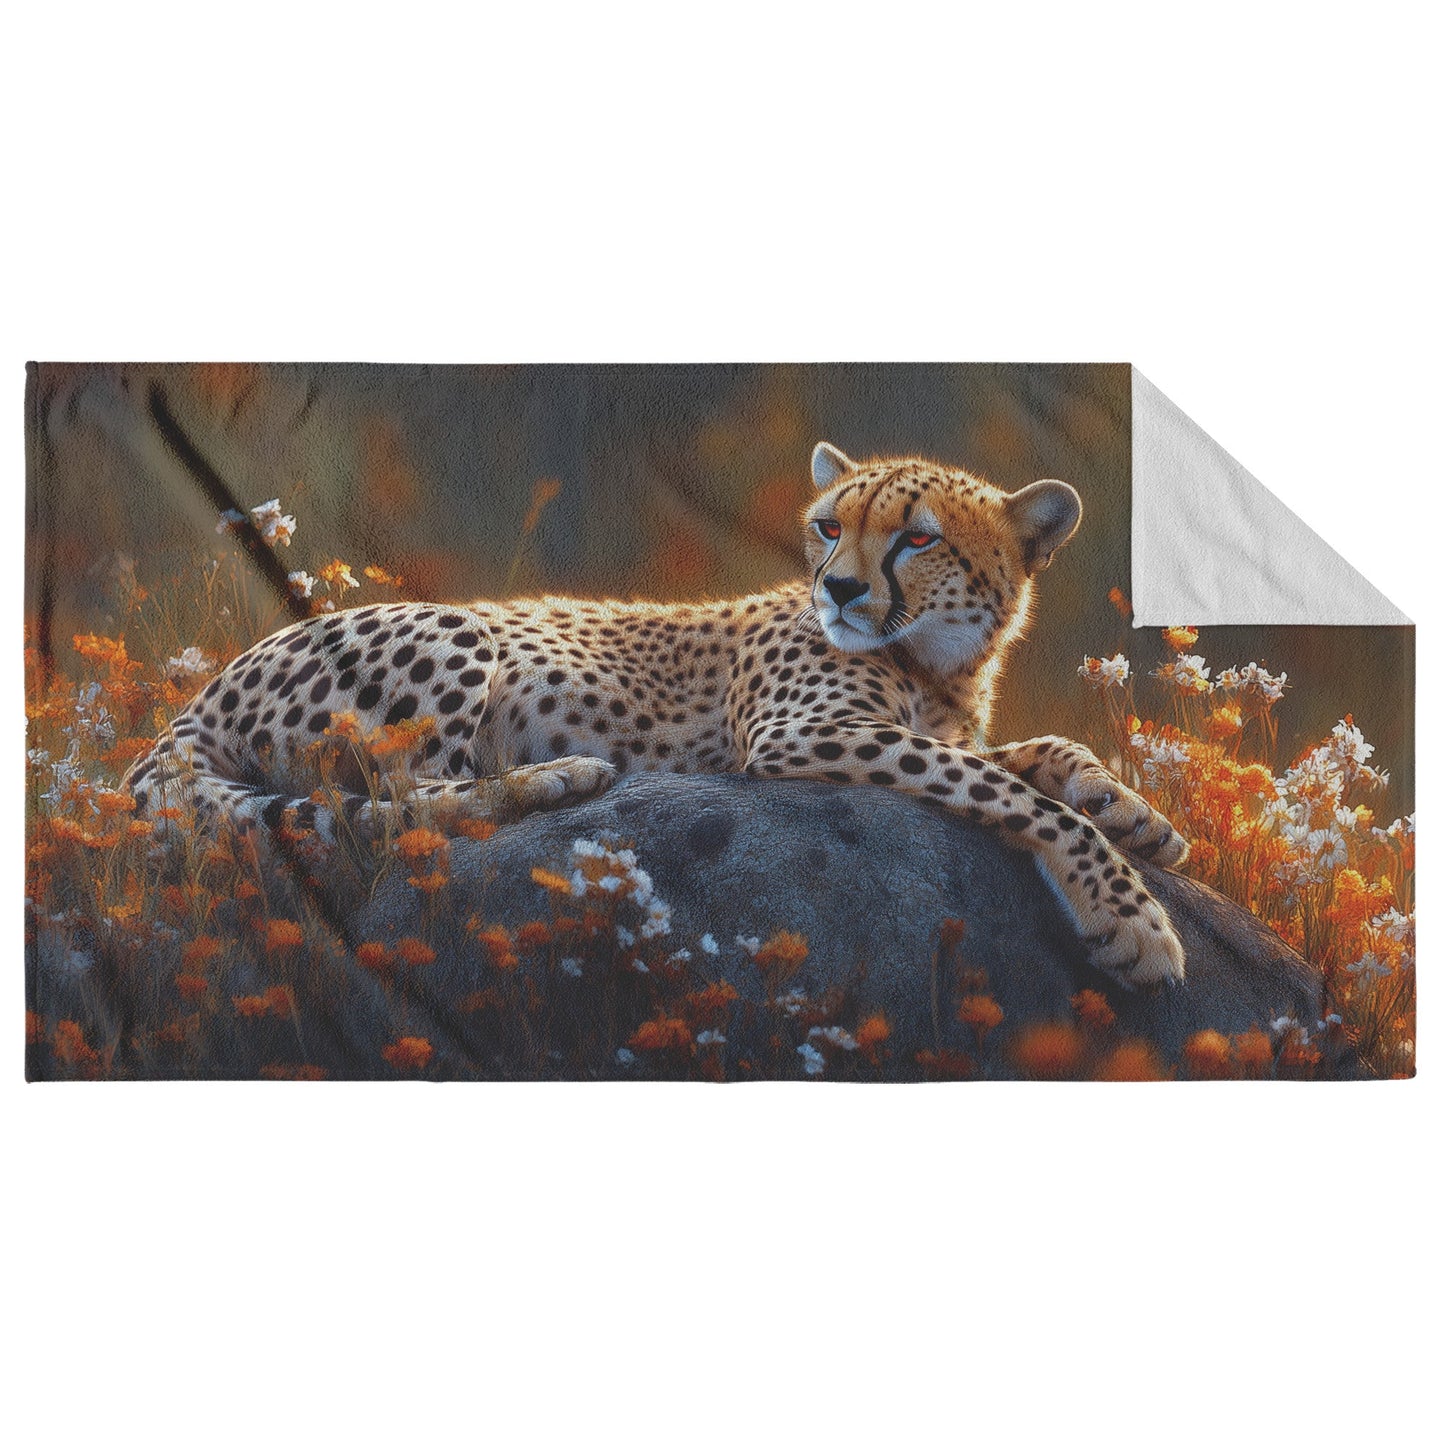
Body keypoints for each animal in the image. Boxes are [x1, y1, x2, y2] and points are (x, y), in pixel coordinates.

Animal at [124, 442, 1190, 986]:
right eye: (827, 525)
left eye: (917, 538)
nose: (841, 590)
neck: (938, 663)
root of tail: (201, 690)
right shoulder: (800, 733)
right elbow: (1014, 793)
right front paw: (1130, 917)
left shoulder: (913, 728)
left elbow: (1036, 752)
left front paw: (1138, 814)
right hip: (451, 628)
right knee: (405, 805)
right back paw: (556, 776)